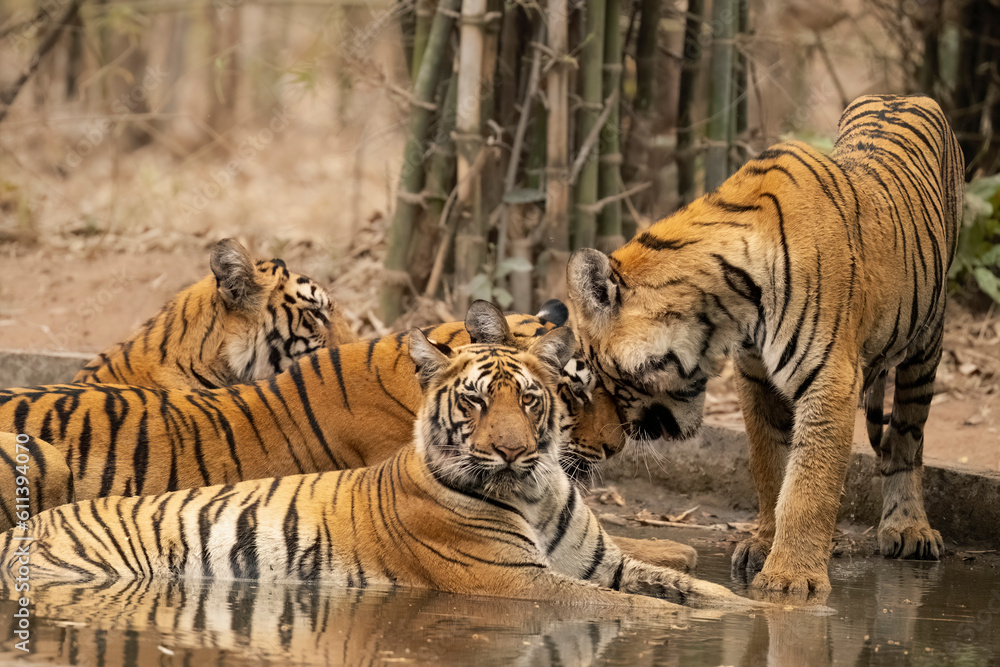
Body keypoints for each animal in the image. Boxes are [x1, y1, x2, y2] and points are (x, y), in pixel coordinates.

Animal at [0, 327, 753, 612]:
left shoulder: (602, 561)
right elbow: (631, 605)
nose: (512, 451)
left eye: (531, 398)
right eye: (475, 400)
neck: (537, 491)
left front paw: (753, 603)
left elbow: (679, 582)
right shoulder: (518, 581)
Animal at [567, 94, 965, 594]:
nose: (613, 443)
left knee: (909, 437)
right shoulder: (755, 377)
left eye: (595, 375)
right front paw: (763, 546)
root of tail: (903, 95)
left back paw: (908, 528)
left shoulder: (830, 379)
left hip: (928, 341)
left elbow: (807, 485)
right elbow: (770, 464)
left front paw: (790, 578)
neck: (725, 307)